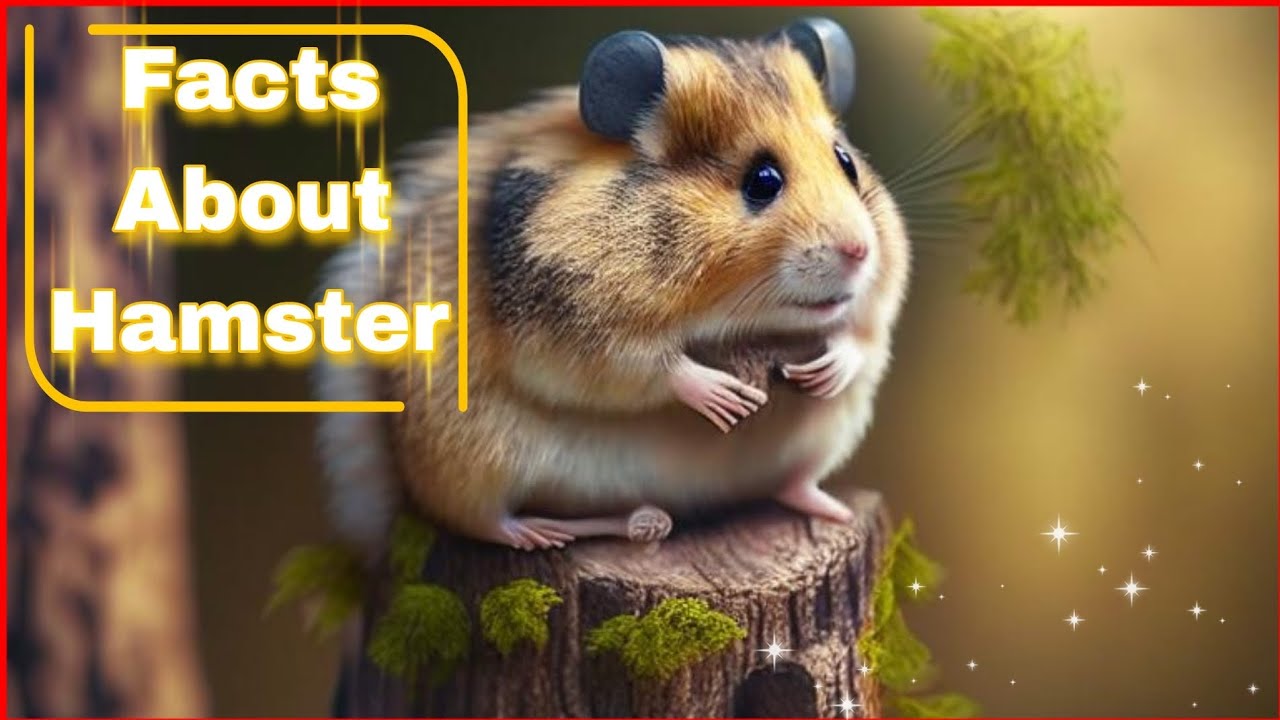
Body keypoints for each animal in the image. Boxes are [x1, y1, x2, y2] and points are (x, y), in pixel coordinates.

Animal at [312, 18, 911, 552]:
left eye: (846, 162)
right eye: (761, 181)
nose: (860, 252)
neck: (737, 320)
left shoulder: (875, 309)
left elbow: (863, 336)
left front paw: (826, 370)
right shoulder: (578, 335)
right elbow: (651, 365)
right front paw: (725, 398)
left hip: (826, 435)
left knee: (790, 484)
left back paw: (818, 508)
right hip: (476, 460)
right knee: (489, 523)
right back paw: (579, 528)